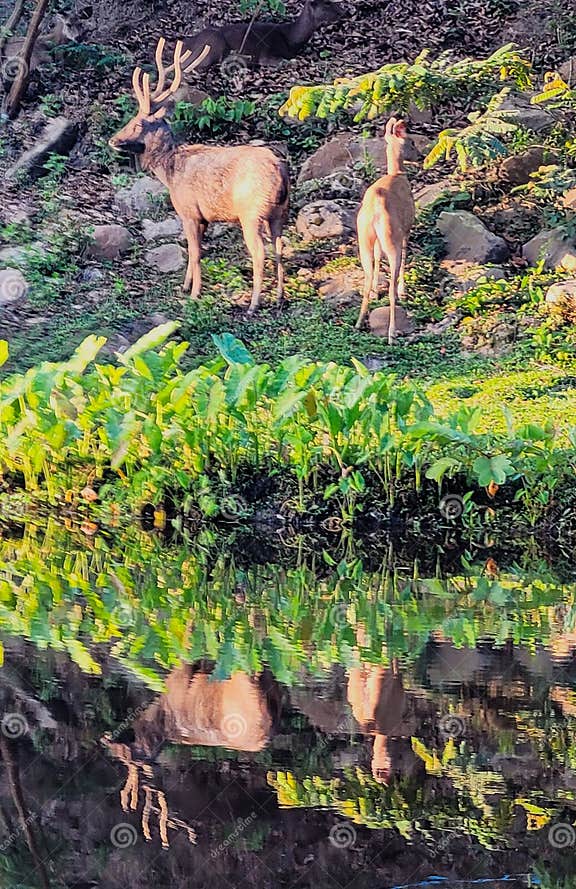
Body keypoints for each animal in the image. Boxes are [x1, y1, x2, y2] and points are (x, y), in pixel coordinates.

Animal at [108, 38, 289, 314]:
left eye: (137, 123)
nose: (113, 140)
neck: (170, 172)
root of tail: (278, 170)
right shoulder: (202, 218)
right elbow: (194, 251)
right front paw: (185, 286)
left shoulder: (189, 211)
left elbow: (195, 253)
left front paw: (194, 294)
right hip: (280, 211)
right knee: (280, 248)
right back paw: (279, 297)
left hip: (251, 212)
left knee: (260, 253)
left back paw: (253, 304)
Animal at [179, 0, 344, 71]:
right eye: (327, 3)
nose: (344, 11)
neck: (291, 39)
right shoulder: (267, 54)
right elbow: (289, 61)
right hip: (213, 44)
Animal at [355, 118, 416, 344]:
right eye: (412, 141)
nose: (420, 155)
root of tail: (376, 210)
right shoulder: (406, 229)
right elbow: (406, 256)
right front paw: (403, 291)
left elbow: (377, 259)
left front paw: (374, 292)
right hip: (392, 240)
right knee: (391, 284)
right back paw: (391, 332)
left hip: (364, 240)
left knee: (366, 276)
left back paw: (359, 322)